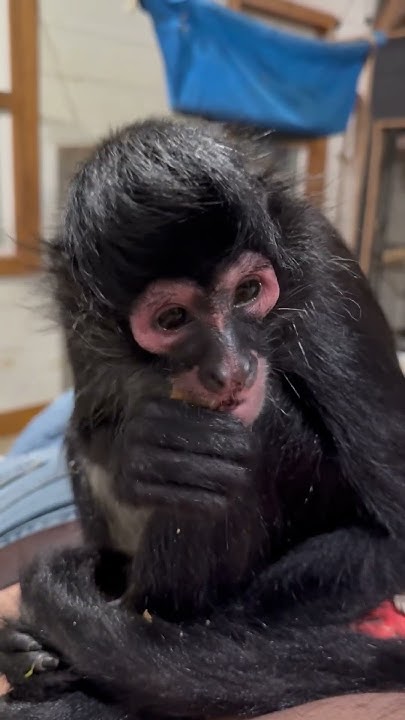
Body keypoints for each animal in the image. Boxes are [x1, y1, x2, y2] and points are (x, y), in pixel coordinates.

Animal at [2, 118, 405, 720]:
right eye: (172, 318)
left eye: (249, 292)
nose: (231, 369)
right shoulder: (76, 307)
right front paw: (142, 449)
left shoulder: (321, 264)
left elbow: (394, 543)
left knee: (258, 431)